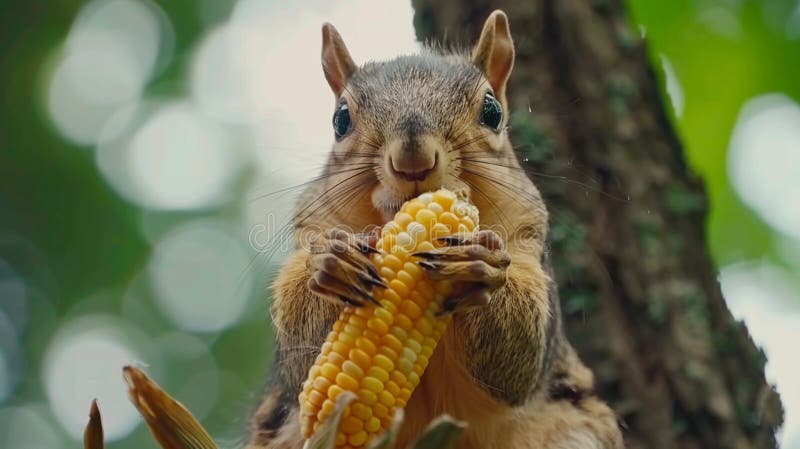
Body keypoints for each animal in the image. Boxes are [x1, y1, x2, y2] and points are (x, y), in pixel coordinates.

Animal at [245, 10, 624, 449]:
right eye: (340, 119)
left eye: (492, 112)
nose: (414, 159)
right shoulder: (313, 222)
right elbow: (298, 357)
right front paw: (330, 263)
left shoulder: (528, 235)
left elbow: (520, 362)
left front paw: (480, 265)